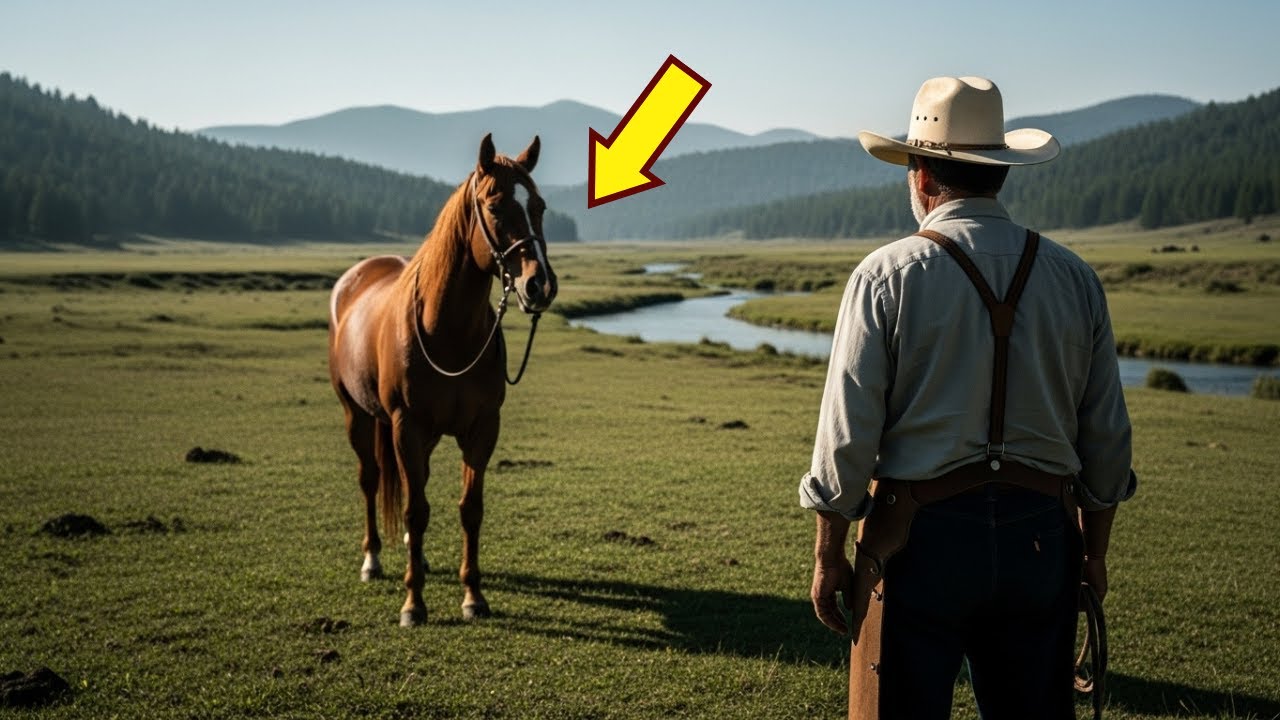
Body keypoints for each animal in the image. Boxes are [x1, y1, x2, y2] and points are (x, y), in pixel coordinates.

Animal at [327, 134, 557, 626]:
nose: (540, 285)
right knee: (371, 478)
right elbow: (415, 510)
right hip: (357, 415)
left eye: (540, 206)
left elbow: (469, 509)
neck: (447, 331)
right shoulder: (406, 426)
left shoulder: (481, 428)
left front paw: (473, 596)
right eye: (496, 207)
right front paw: (414, 604)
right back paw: (373, 560)